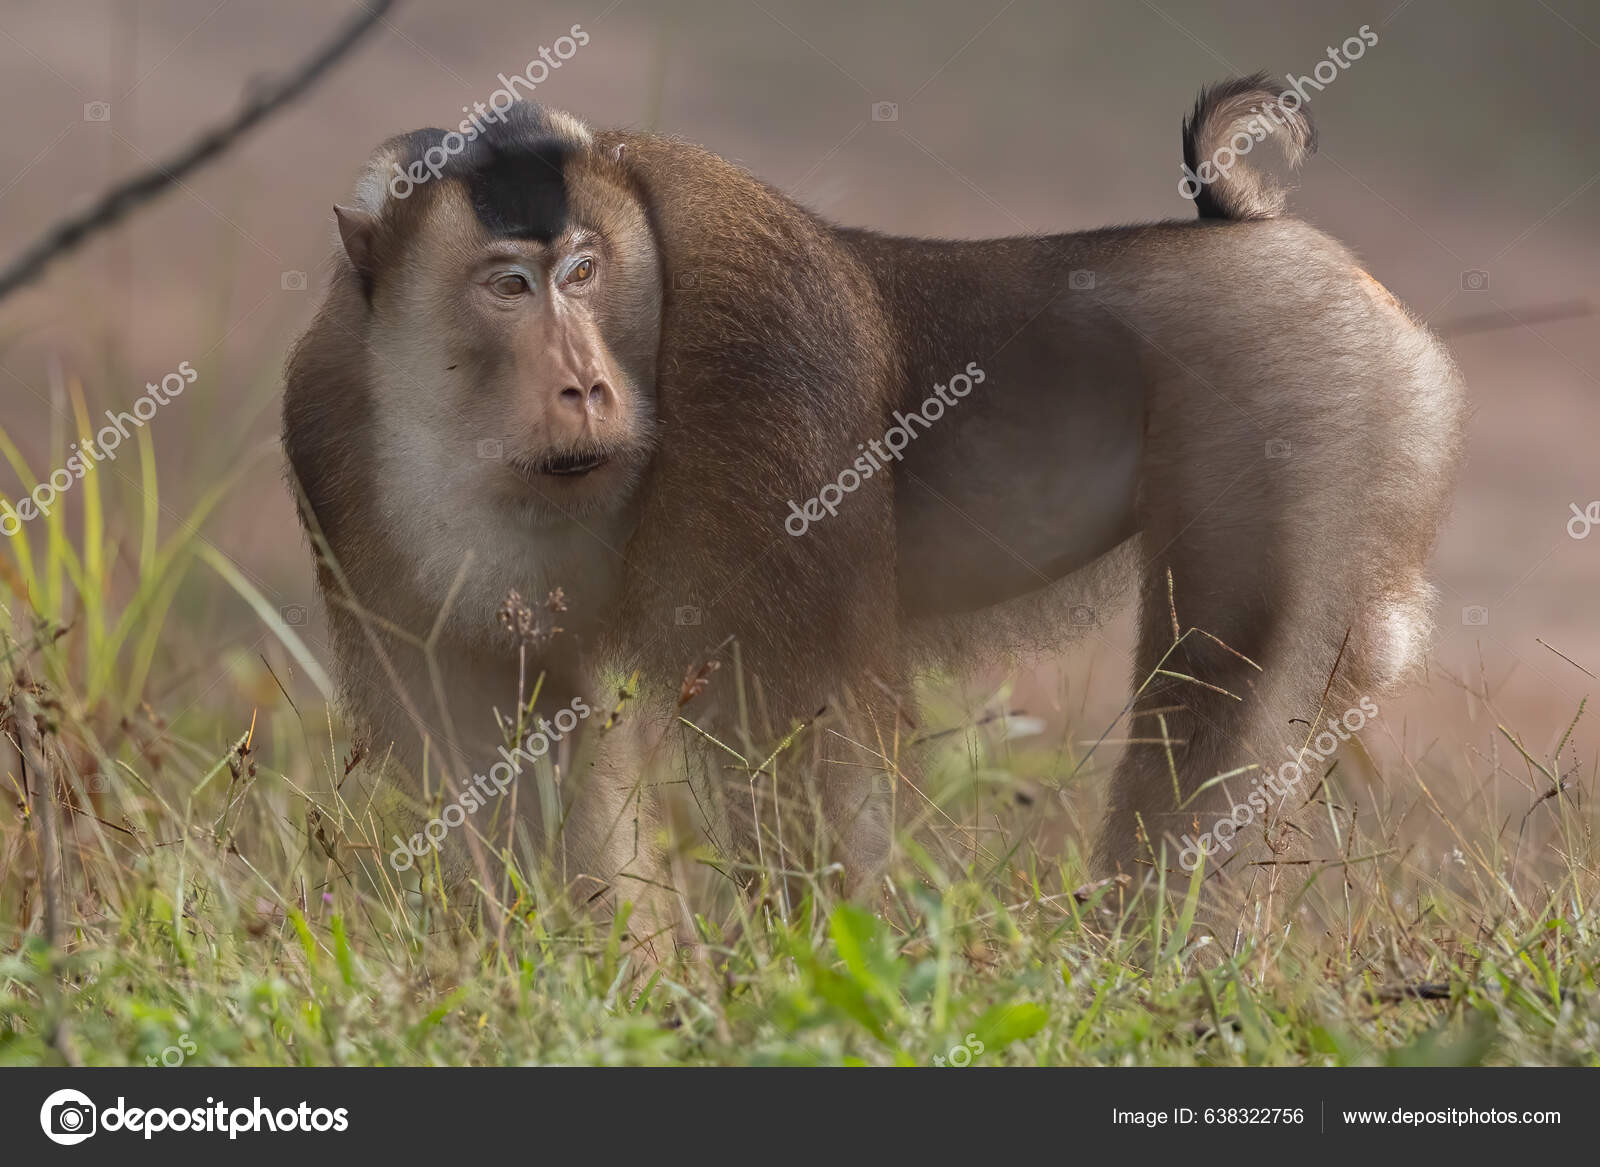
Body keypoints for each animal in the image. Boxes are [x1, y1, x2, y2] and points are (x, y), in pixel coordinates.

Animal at [283, 77, 1464, 947]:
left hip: (1310, 393)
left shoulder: (751, 360)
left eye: (580, 270)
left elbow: (794, 734)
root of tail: (1264, 234)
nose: (583, 386)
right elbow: (492, 757)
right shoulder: (331, 431)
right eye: (508, 286)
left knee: (1223, 672)